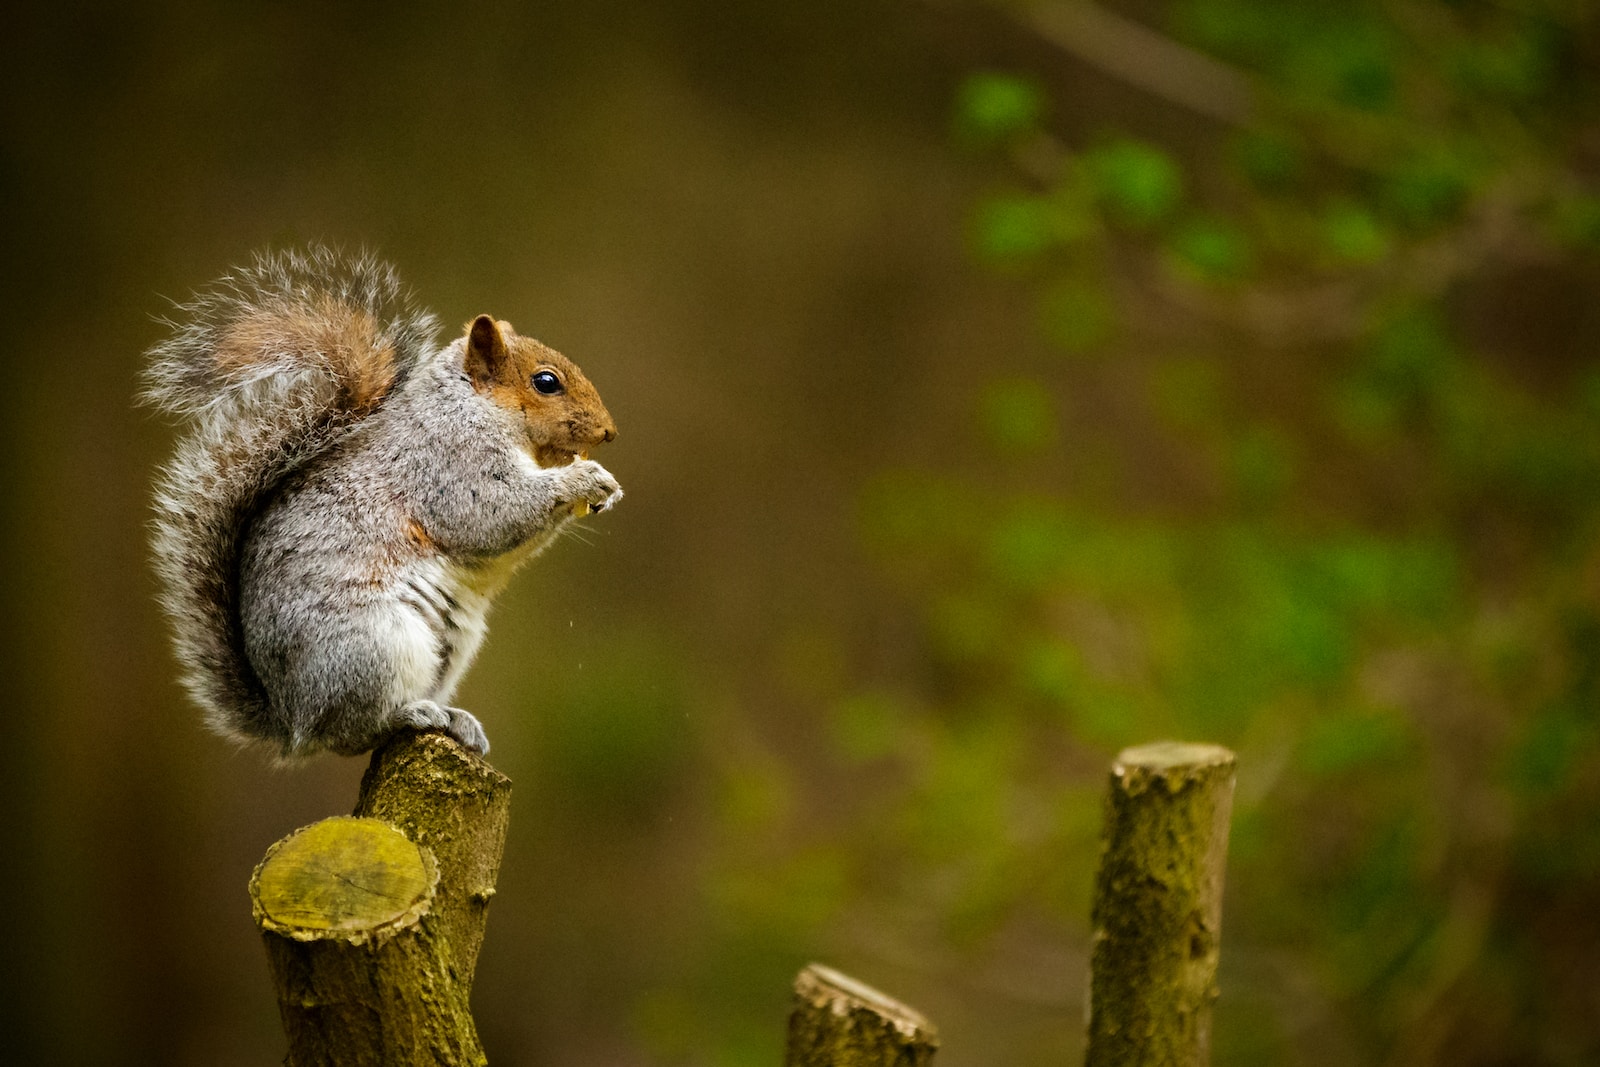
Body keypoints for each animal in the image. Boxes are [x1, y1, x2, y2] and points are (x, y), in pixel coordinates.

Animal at [143, 246, 622, 758]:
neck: (472, 405)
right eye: (546, 382)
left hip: (449, 648)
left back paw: (456, 720)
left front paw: (605, 489)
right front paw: (584, 478)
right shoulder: (448, 466)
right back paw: (410, 715)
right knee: (351, 733)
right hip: (375, 646)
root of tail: (291, 719)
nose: (609, 432)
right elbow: (493, 515)